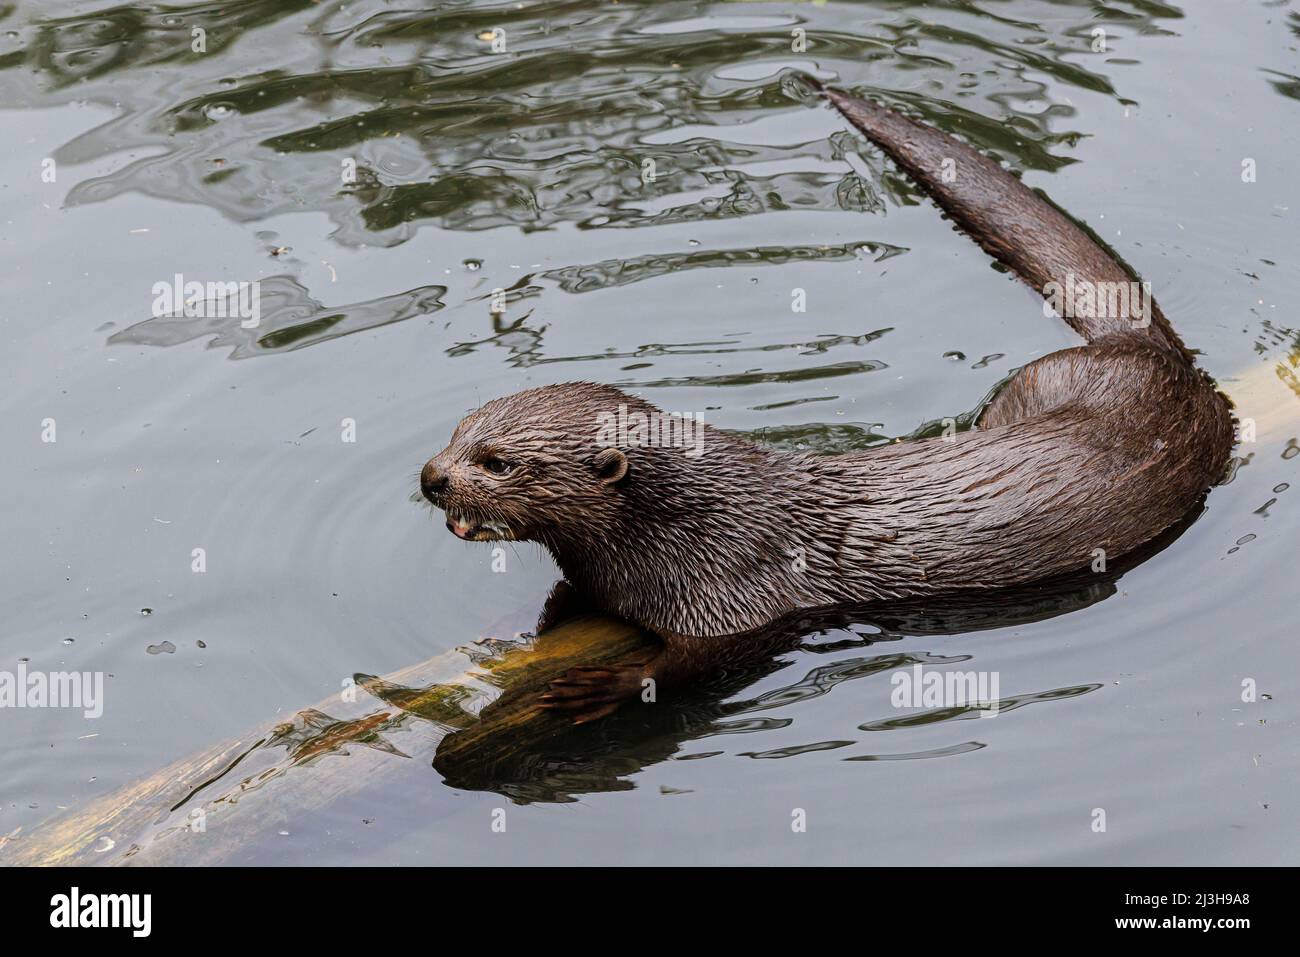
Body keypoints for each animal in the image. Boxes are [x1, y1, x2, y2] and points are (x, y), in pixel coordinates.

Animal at [420, 86, 1234, 721]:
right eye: (455, 431)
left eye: (496, 461)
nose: (431, 477)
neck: (691, 527)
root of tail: (1142, 349)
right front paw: (527, 624)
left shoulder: (729, 600)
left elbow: (686, 665)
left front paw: (600, 687)